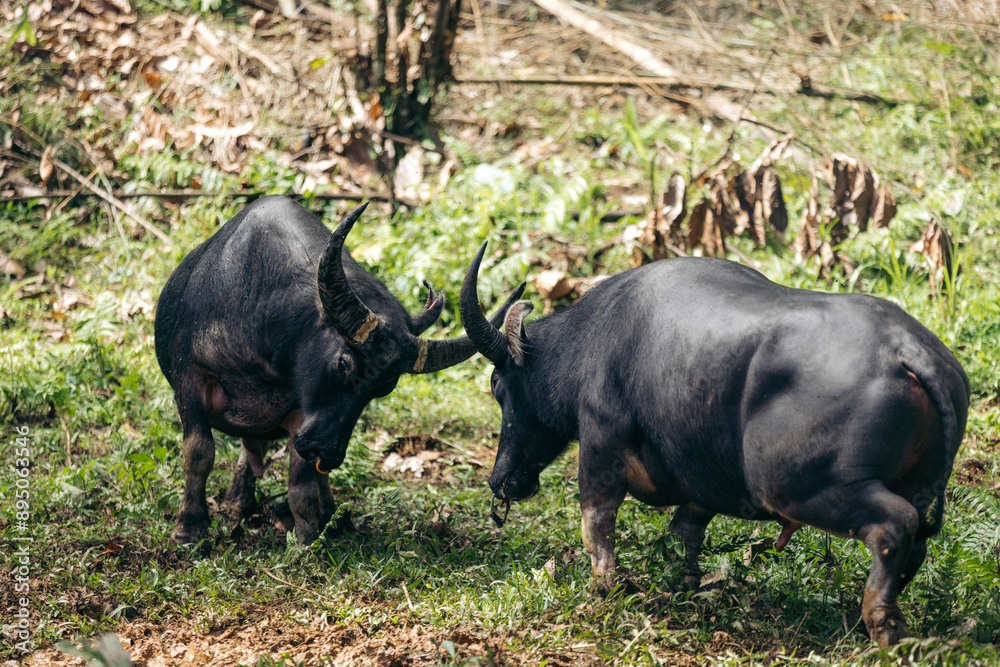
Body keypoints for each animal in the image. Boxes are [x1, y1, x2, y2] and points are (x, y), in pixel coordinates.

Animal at [155, 197, 523, 545]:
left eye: (384, 387)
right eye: (343, 363)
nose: (328, 452)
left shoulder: (301, 413)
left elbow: (302, 479)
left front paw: (307, 537)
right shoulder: (189, 378)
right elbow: (199, 453)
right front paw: (189, 529)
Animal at [460, 244, 969, 647]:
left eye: (497, 386)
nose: (503, 480)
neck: (592, 340)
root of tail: (905, 350)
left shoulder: (601, 442)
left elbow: (596, 524)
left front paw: (604, 591)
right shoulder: (701, 481)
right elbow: (685, 531)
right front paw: (682, 587)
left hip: (799, 486)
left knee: (895, 526)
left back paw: (881, 626)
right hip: (917, 485)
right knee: (916, 541)